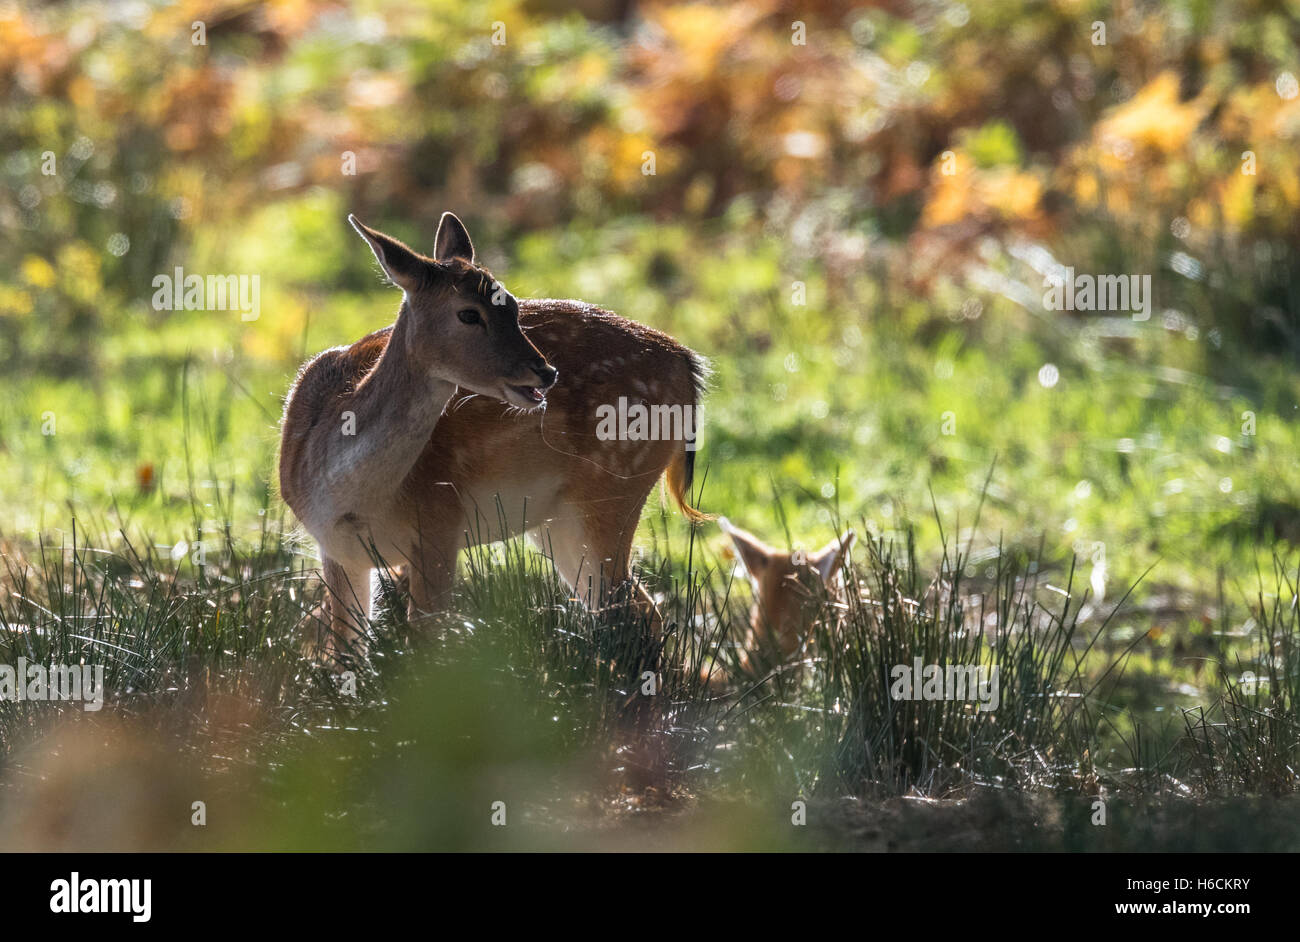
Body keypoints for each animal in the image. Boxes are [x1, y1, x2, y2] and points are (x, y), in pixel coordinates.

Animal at [278, 212, 708, 663]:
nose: (545, 372)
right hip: (560, 522)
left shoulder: (440, 521)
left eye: (514, 306)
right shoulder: (336, 550)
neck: (351, 498)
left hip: (613, 487)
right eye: (469, 313)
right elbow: (344, 655)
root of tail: (689, 365)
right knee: (636, 610)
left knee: (630, 612)